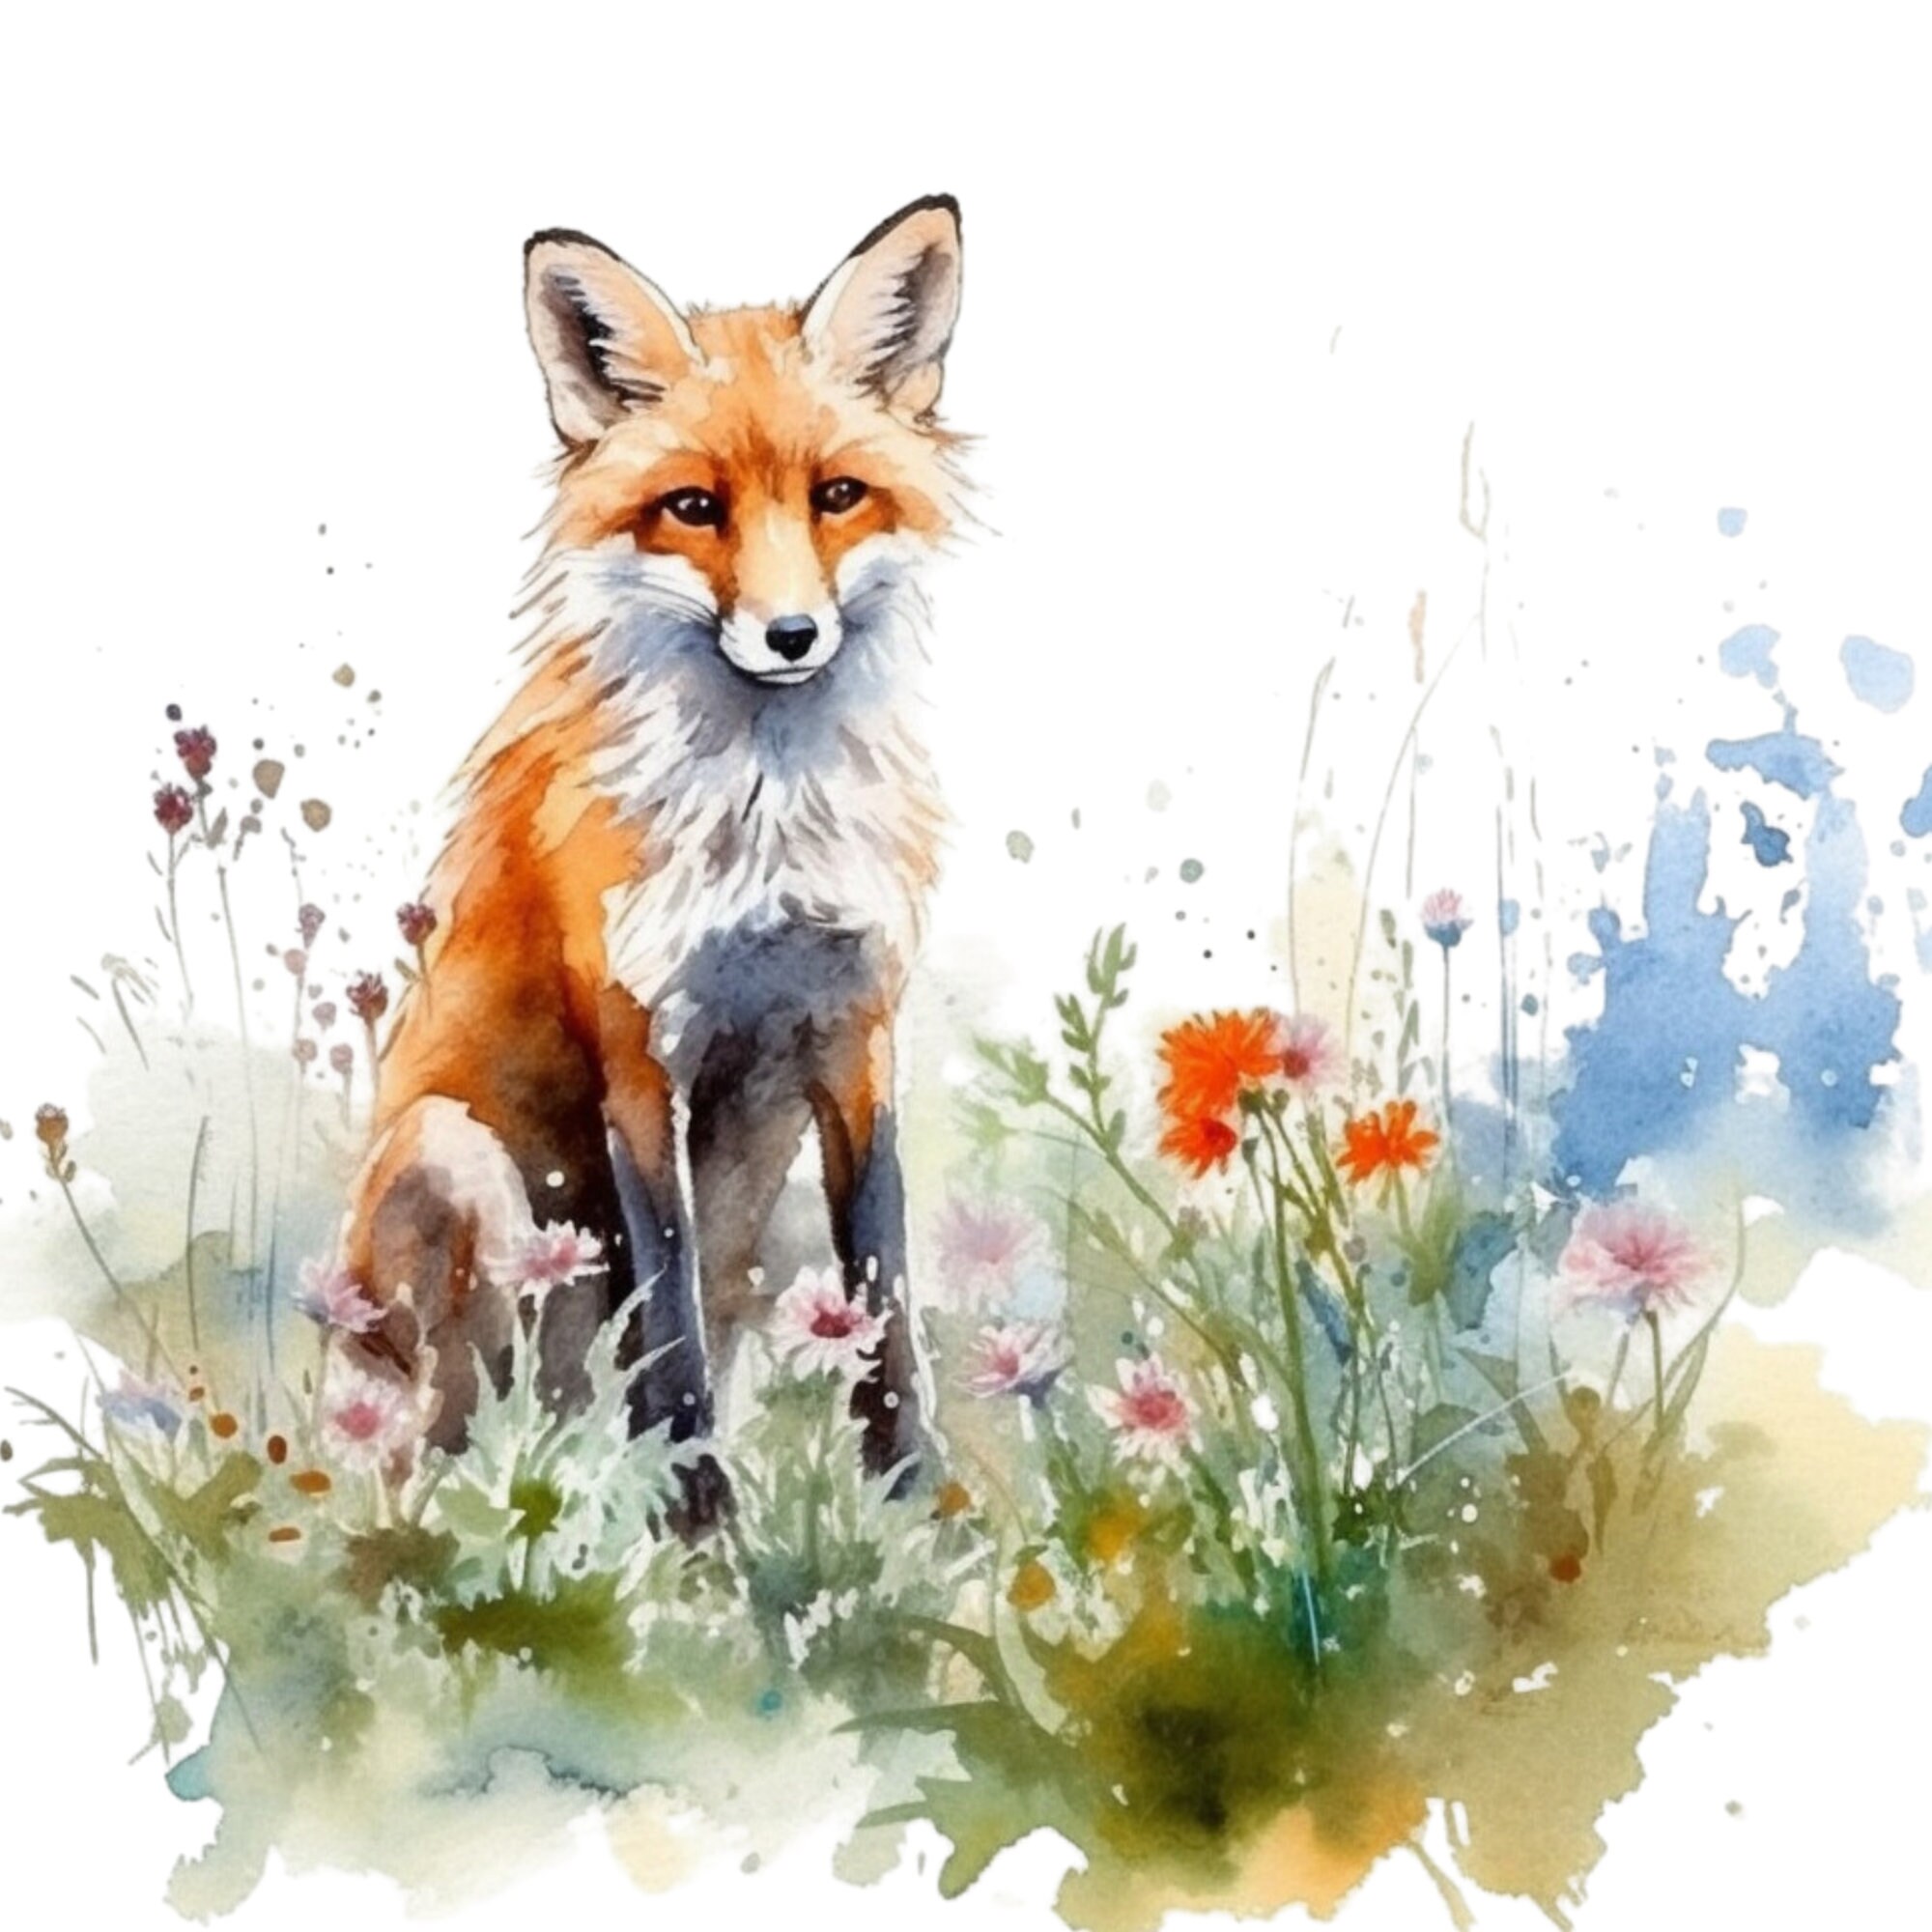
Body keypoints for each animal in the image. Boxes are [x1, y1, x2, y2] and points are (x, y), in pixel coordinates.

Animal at [331, 196, 966, 1523]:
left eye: (838, 494)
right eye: (692, 507)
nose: (791, 634)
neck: (765, 831)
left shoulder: (855, 1030)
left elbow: (881, 1289)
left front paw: (913, 1506)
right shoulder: (639, 1050)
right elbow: (667, 1318)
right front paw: (699, 1524)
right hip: (458, 1162)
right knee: (450, 1440)